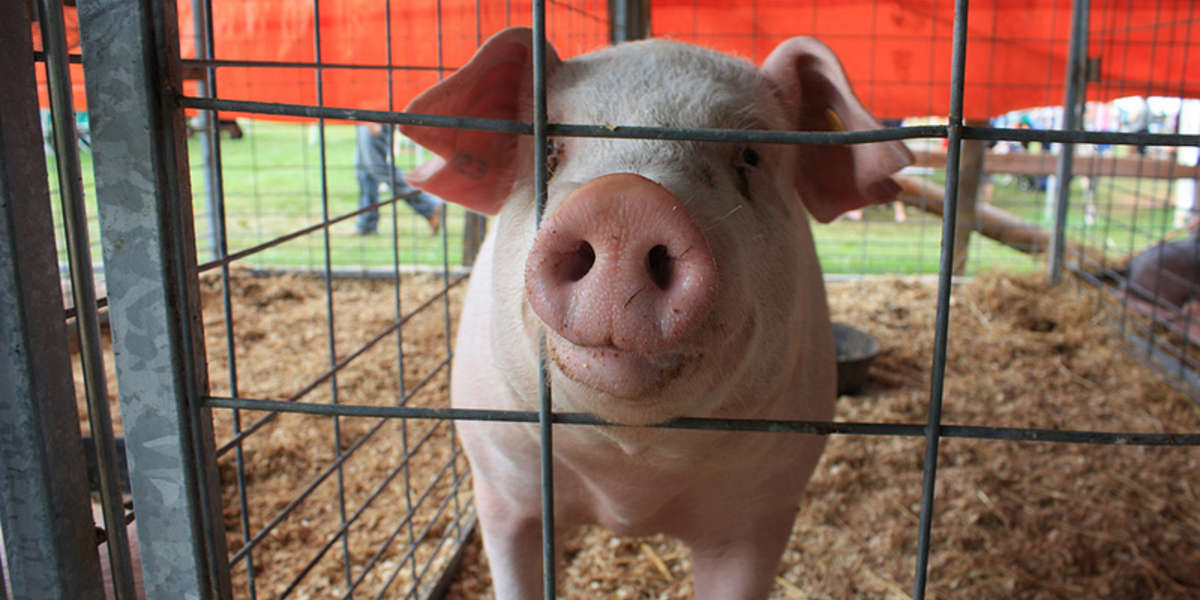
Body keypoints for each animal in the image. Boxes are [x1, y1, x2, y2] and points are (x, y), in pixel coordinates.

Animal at [400, 28, 912, 599]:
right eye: (549, 148)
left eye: (752, 155)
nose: (625, 203)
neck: (633, 483)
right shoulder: (500, 481)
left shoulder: (762, 513)